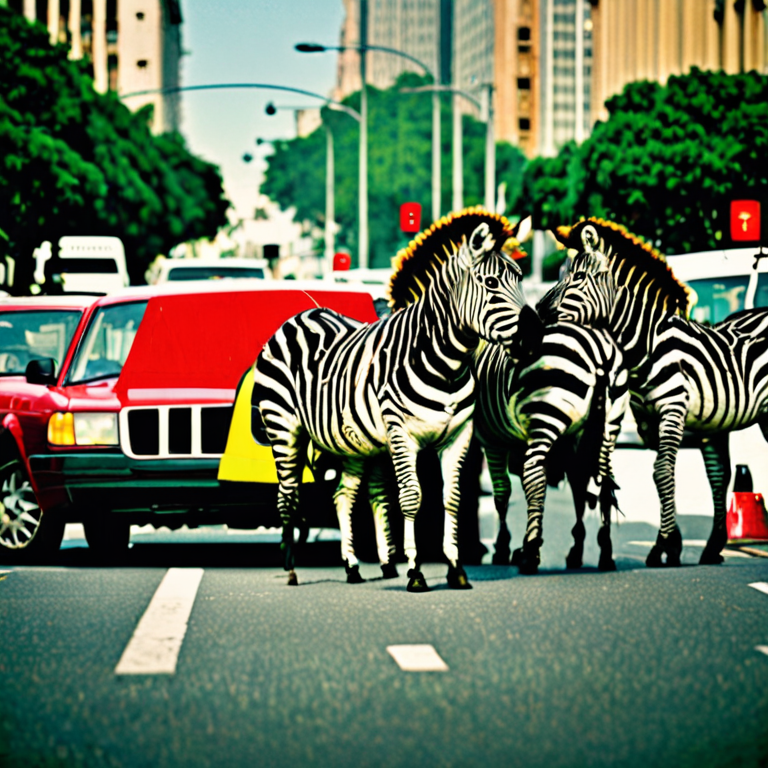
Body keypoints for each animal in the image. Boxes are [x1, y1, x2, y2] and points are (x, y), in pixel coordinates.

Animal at [253, 208, 529, 591]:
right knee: (288, 496)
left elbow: (451, 498)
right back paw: (292, 569)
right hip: (284, 429)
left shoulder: (459, 437)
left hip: (348, 443)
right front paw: (414, 571)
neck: (444, 361)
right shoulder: (402, 435)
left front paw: (455, 567)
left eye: (522, 277)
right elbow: (411, 498)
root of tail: (303, 315)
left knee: (343, 495)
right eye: (490, 283)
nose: (535, 330)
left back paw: (352, 566)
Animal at [544, 217, 768, 567]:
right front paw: (669, 544)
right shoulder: (648, 421)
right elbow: (658, 476)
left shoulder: (672, 410)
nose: (539, 312)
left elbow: (662, 472)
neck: (647, 344)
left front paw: (665, 546)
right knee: (719, 475)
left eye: (577, 277)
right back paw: (712, 548)